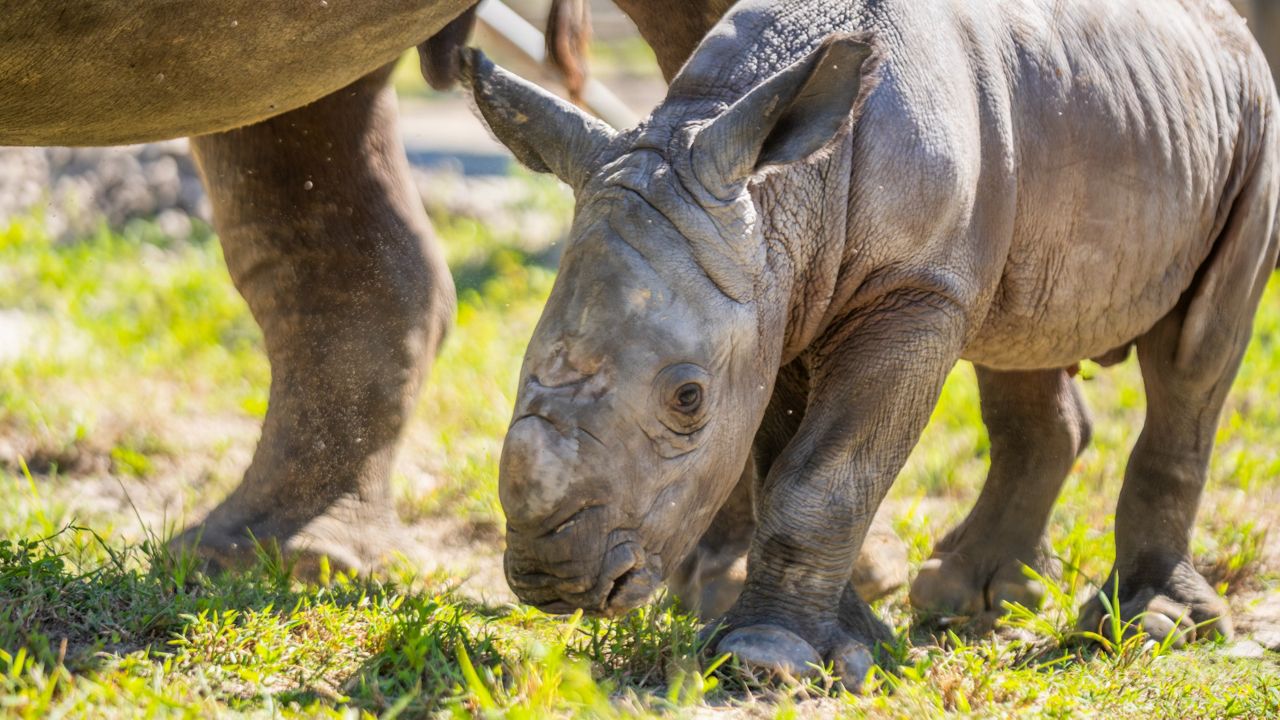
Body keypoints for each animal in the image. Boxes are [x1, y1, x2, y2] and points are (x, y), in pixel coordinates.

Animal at [465, 0, 1274, 676]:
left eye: (686, 399)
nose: (550, 577)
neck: (781, 187)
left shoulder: (913, 289)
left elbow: (820, 476)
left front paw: (765, 656)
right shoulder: (776, 300)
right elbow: (781, 463)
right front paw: (851, 646)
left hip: (1255, 126)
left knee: (1196, 355)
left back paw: (1150, 627)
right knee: (1023, 338)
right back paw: (966, 598)